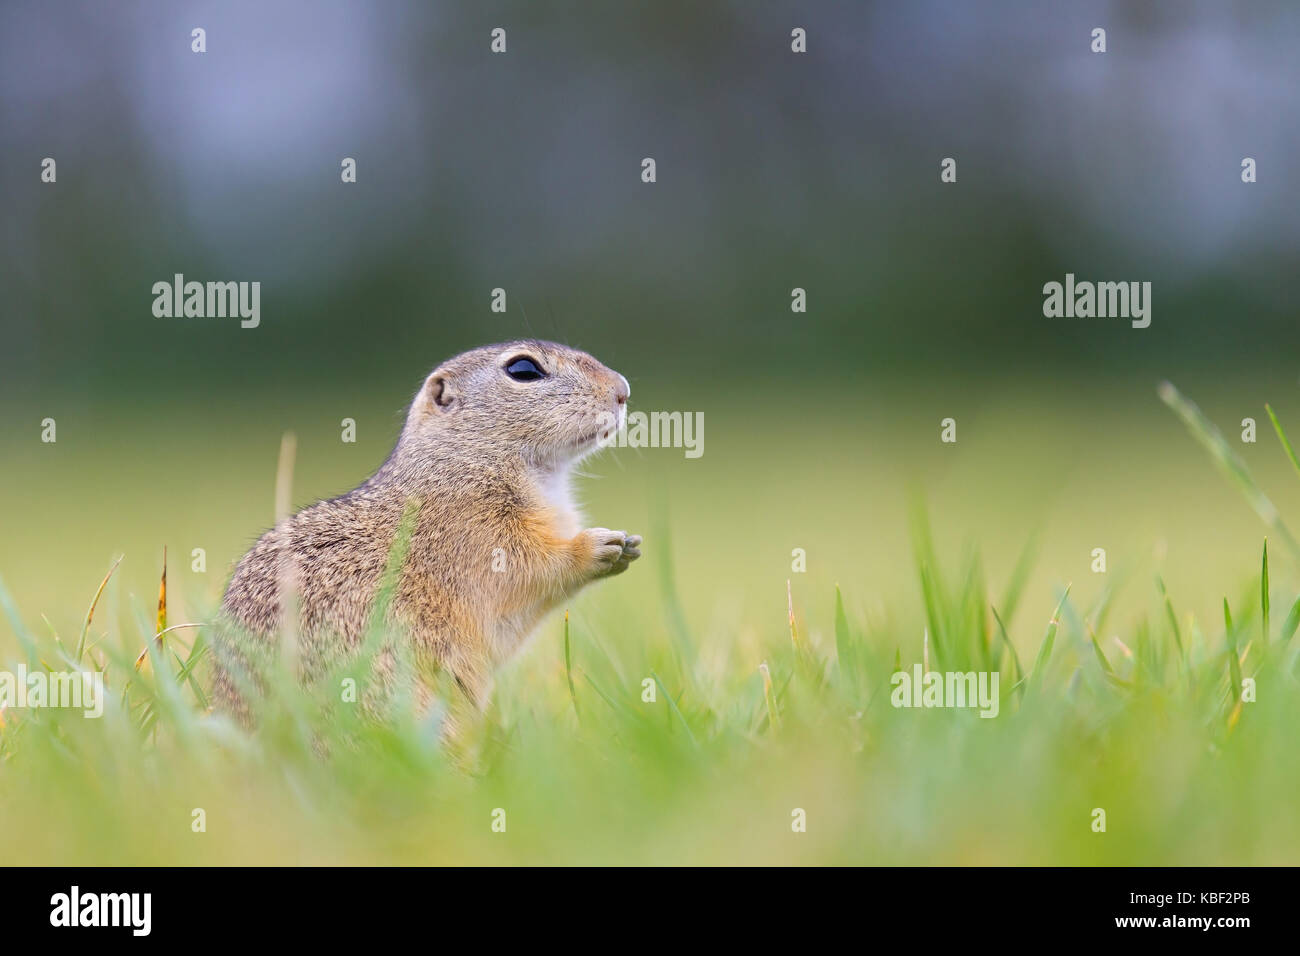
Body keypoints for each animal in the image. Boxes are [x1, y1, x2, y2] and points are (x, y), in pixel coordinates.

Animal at [213, 340, 640, 724]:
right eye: (523, 370)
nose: (622, 390)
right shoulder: (478, 530)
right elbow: (530, 567)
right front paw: (599, 545)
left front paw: (630, 546)